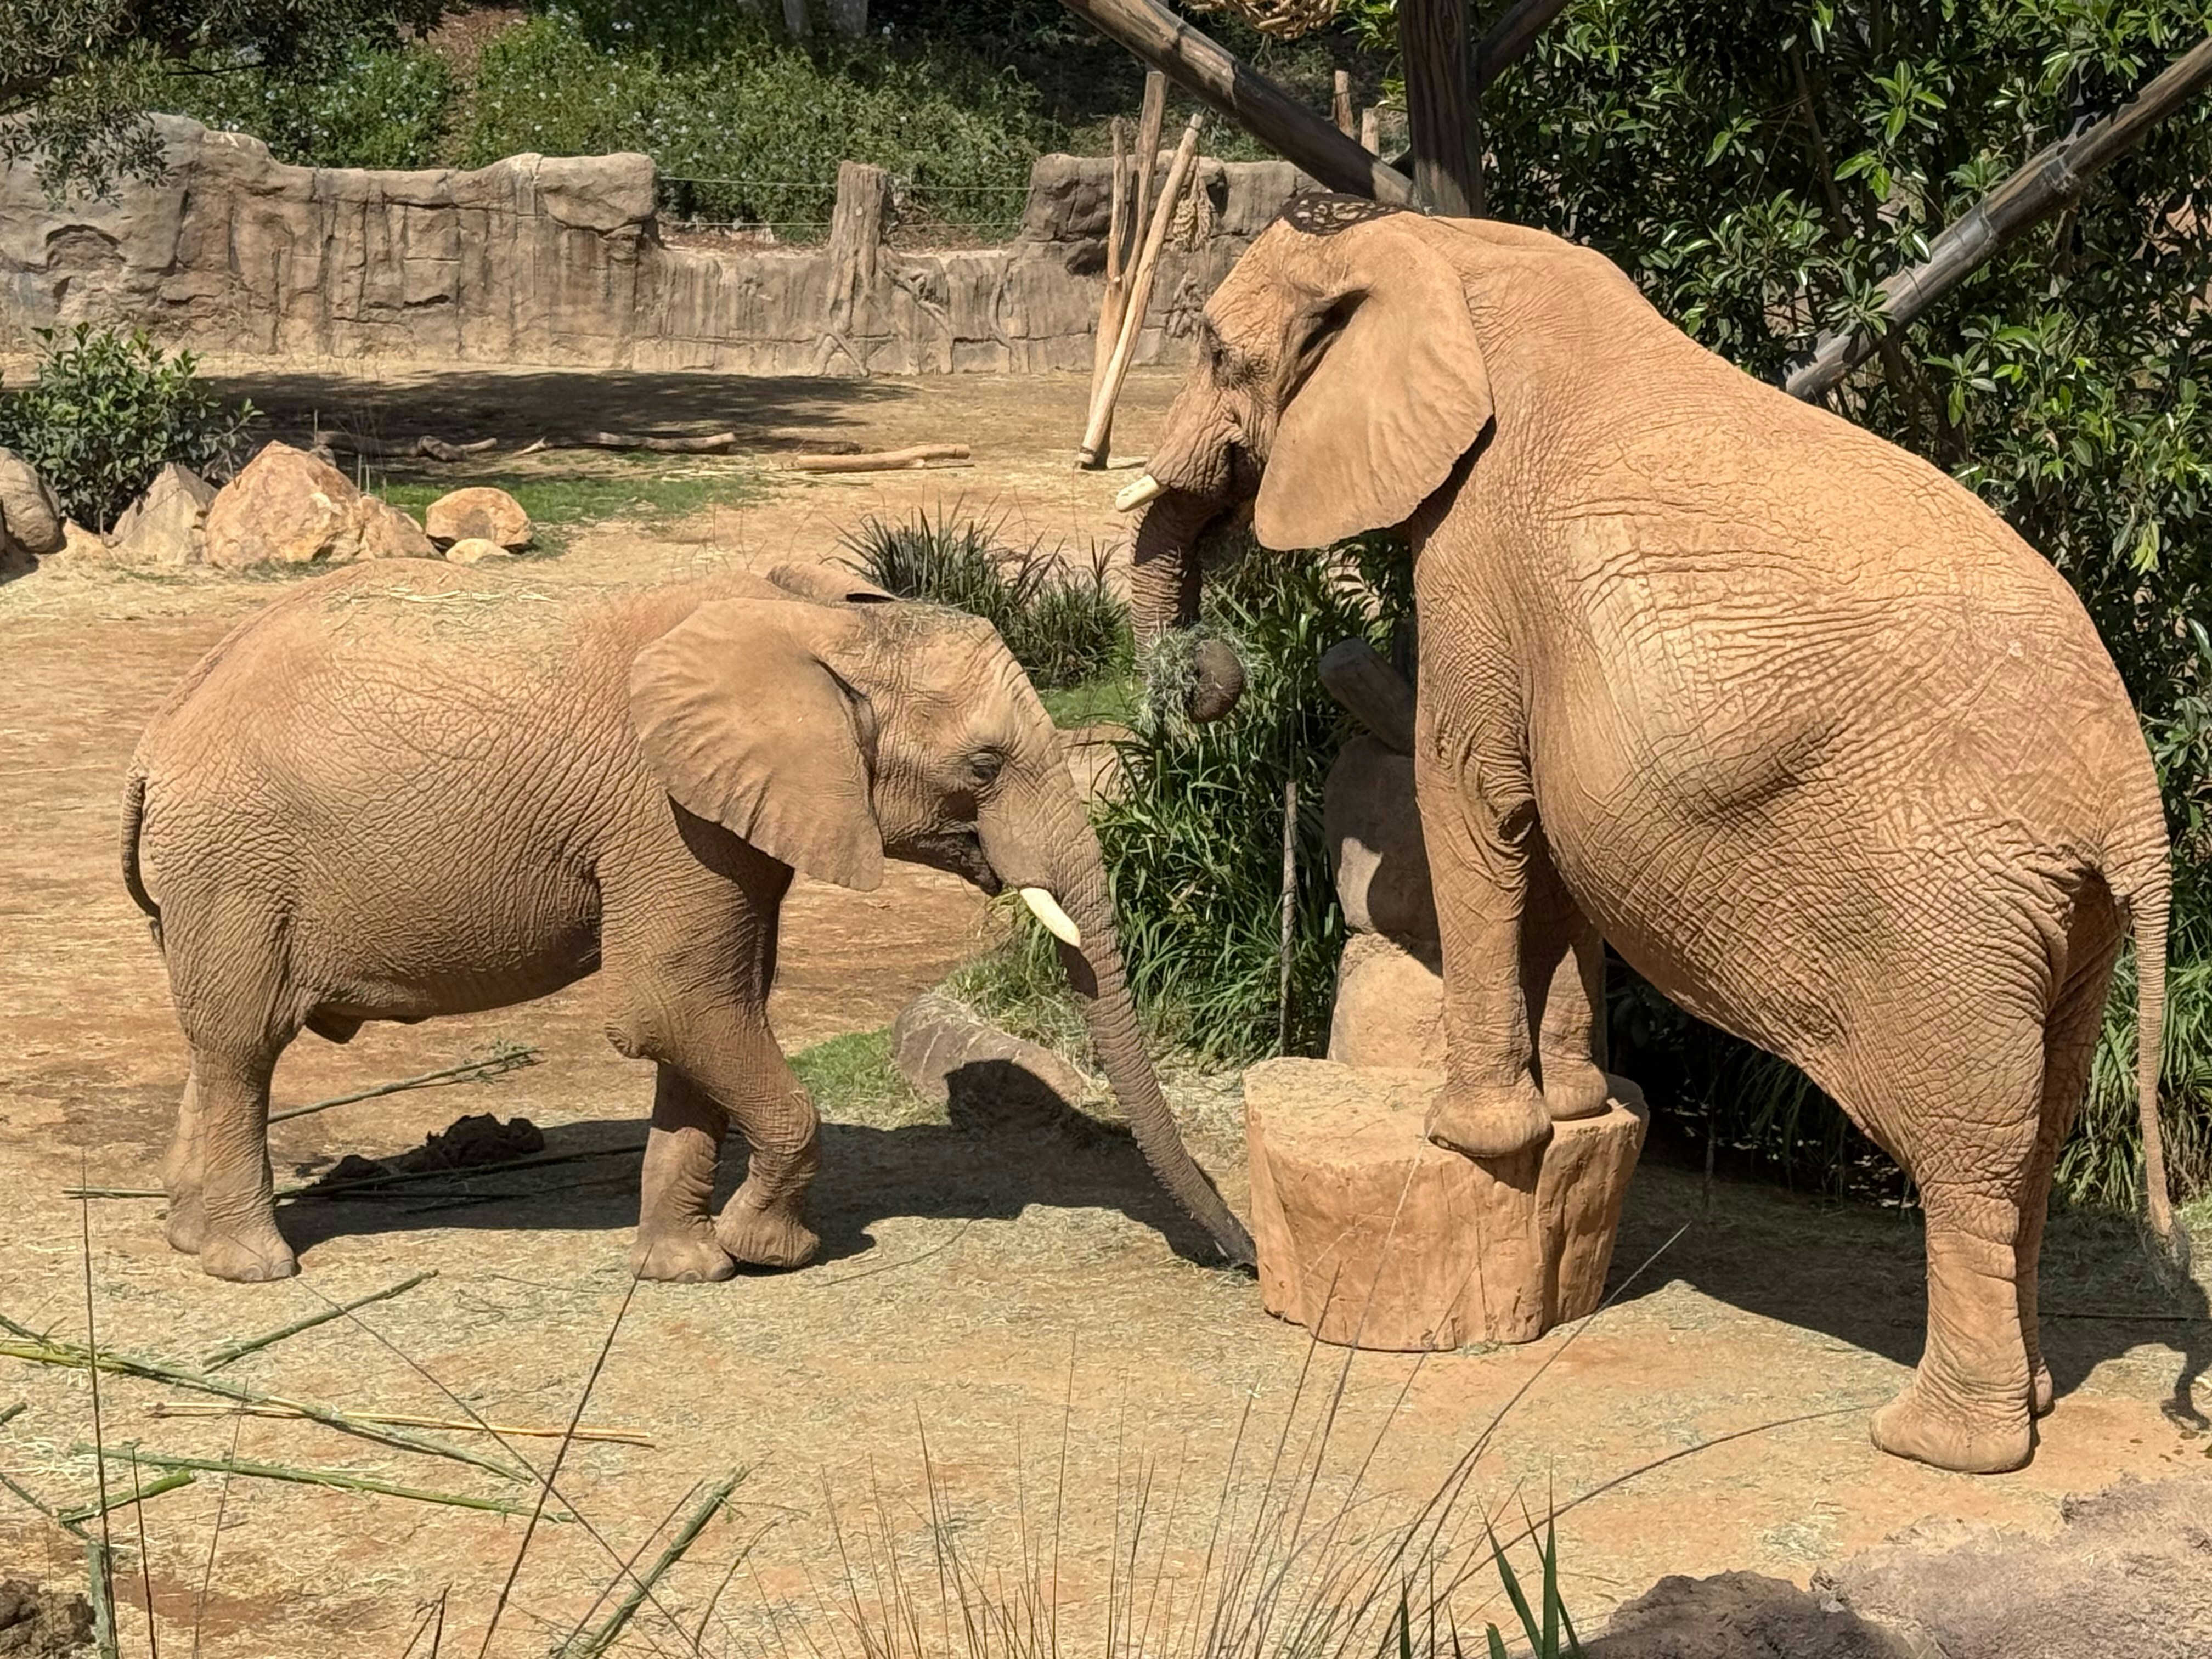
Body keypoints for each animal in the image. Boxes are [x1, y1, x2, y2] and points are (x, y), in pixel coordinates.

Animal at [120, 558, 1255, 1285]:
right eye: (983, 766)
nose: (1242, 1258)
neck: (821, 623)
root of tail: (157, 736)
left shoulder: (732, 819)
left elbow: (713, 1010)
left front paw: (689, 1268)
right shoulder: (664, 813)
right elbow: (670, 1005)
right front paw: (772, 1252)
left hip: (211, 879)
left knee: (214, 1044)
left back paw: (183, 1237)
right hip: (236, 861)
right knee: (243, 1045)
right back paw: (255, 1268)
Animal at [1113, 197, 2185, 1474]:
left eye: (1218, 352)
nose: (1205, 677)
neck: (1442, 245)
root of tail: (2131, 800)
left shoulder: (1477, 545)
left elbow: (1476, 795)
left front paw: (1469, 1138)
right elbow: (1555, 837)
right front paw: (1577, 1112)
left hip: (1954, 913)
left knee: (1973, 1147)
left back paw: (1932, 1444)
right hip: (2072, 918)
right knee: (2042, 1125)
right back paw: (2027, 1403)